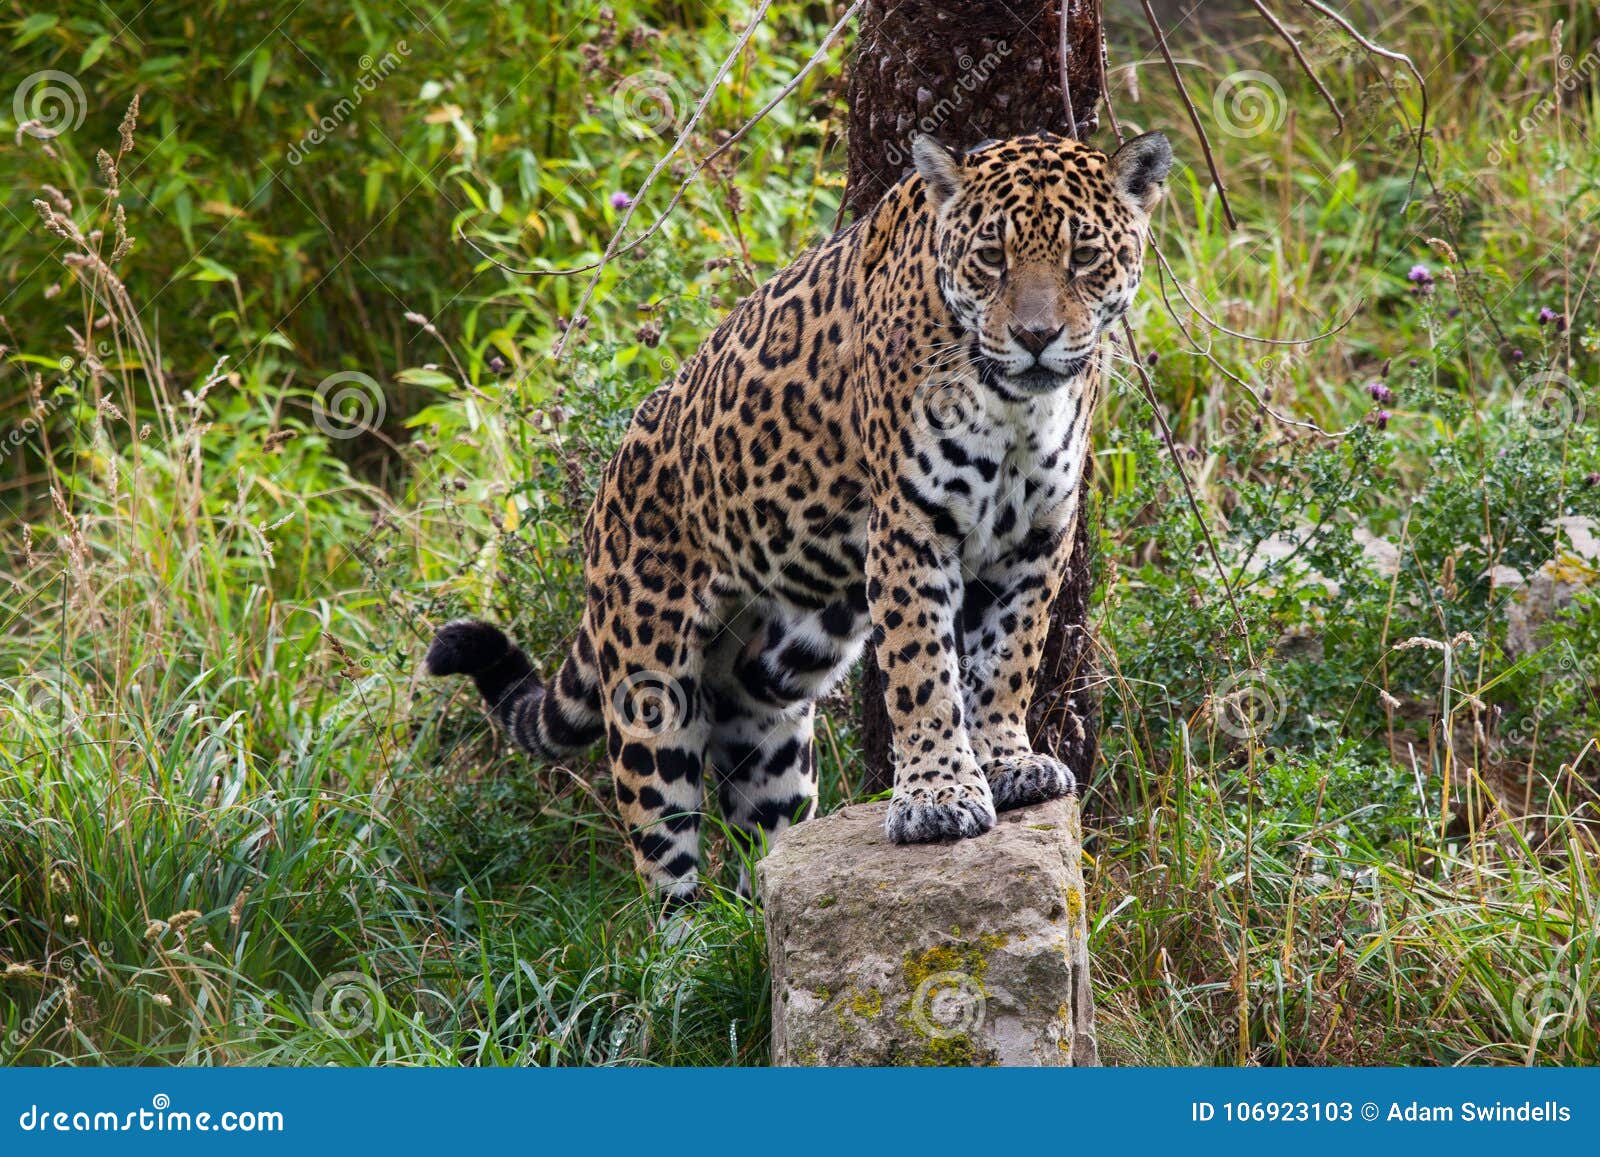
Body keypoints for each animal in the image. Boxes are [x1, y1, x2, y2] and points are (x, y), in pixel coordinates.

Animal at [426, 130, 1172, 912]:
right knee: (663, 860)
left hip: (771, 702)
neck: (1021, 405)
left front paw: (1008, 762)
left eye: (1083, 257)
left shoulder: (1037, 537)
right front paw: (938, 797)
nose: (1035, 335)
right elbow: (922, 671)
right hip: (650, 689)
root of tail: (604, 494)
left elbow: (1009, 658)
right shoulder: (909, 527)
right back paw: (684, 938)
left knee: (761, 845)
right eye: (990, 258)